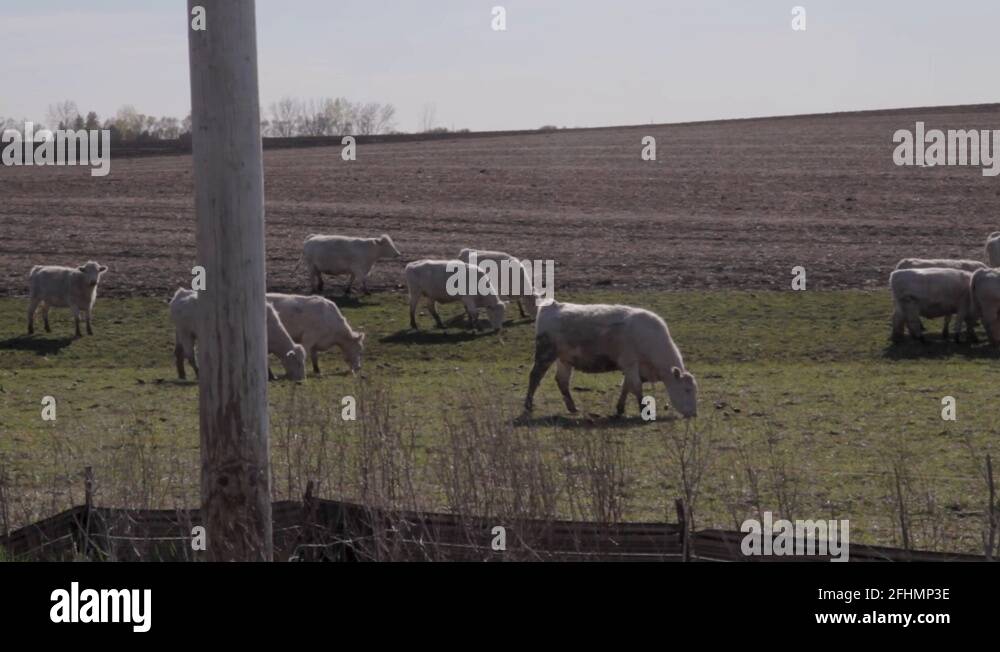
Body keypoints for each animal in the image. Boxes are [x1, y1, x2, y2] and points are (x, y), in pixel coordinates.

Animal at [168, 288, 306, 381]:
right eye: (298, 362)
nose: (301, 378)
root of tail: (181, 293)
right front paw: (271, 376)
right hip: (186, 333)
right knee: (190, 355)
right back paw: (197, 374)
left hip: (179, 333)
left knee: (179, 352)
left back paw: (182, 374)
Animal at [524, 301, 698, 418]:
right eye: (687, 390)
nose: (694, 414)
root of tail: (553, 305)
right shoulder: (630, 363)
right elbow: (636, 387)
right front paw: (644, 410)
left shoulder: (632, 368)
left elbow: (626, 387)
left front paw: (620, 409)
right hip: (545, 354)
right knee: (535, 376)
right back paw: (528, 405)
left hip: (564, 360)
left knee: (562, 381)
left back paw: (572, 408)